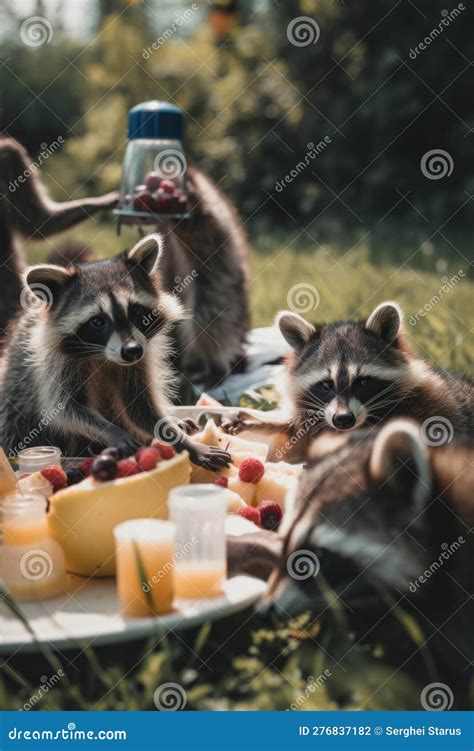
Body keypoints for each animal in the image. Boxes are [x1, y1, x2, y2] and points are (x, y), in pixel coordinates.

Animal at [0, 233, 230, 469]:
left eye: (136, 311)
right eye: (97, 321)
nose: (132, 350)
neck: (104, 357)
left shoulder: (141, 357)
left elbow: (140, 407)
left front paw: (182, 440)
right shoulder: (57, 364)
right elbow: (65, 409)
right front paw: (112, 432)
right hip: (14, 402)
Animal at [221, 301, 473, 461]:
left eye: (362, 382)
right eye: (326, 385)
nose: (343, 419)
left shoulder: (432, 404)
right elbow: (295, 432)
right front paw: (259, 421)